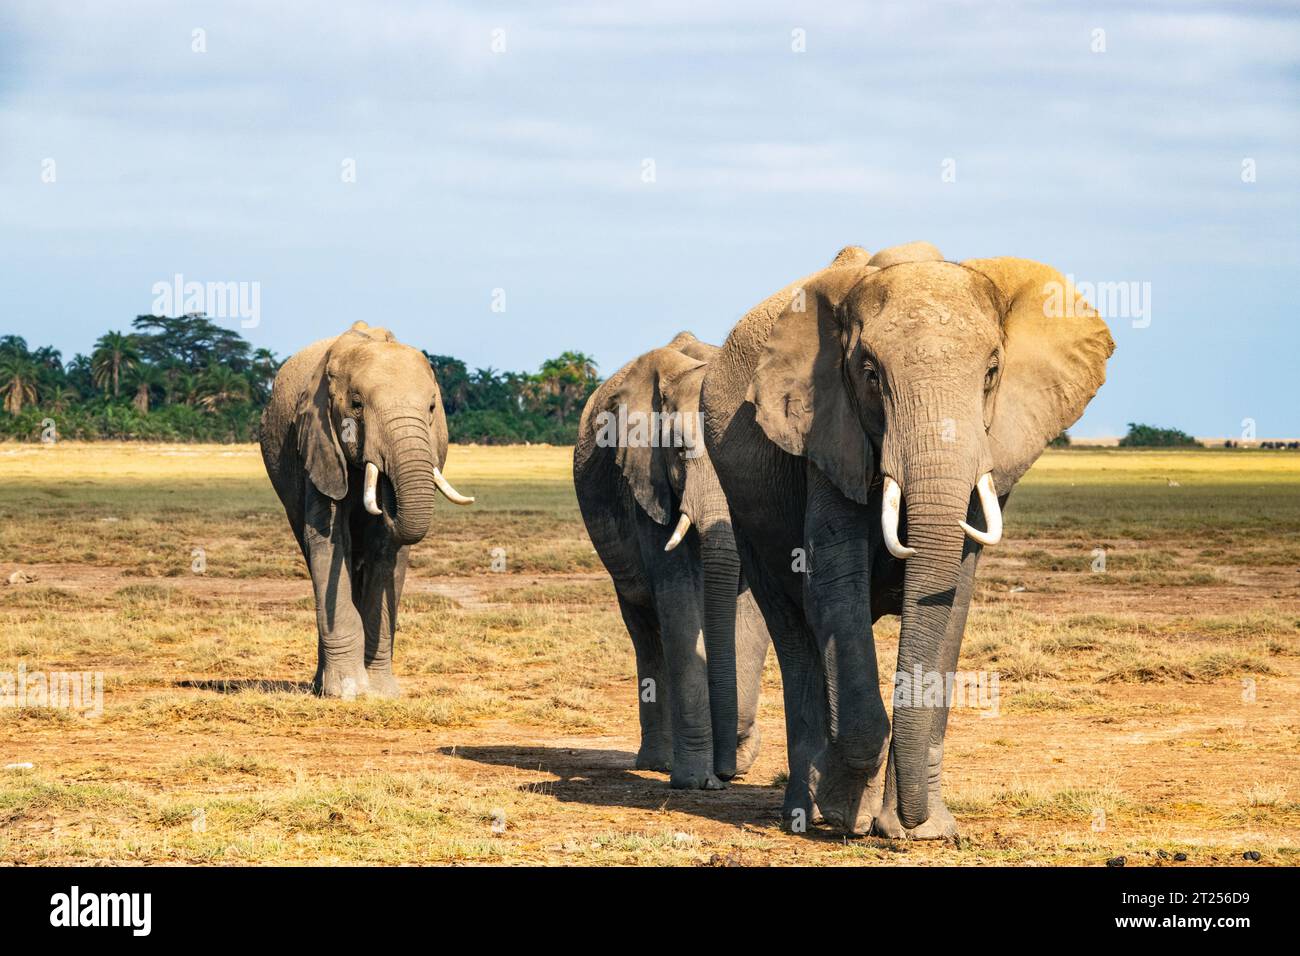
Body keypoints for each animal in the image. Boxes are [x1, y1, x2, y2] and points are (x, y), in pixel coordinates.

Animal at [260, 320, 474, 699]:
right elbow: (330, 542)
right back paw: (322, 686)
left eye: (432, 409)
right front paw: (348, 692)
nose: (386, 504)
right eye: (357, 405)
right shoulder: (317, 442)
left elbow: (385, 550)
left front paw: (383, 693)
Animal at [573, 332, 770, 789]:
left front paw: (736, 759)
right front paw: (697, 780)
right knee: (645, 628)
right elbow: (678, 599)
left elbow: (750, 607)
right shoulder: (646, 480)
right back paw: (656, 763)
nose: (726, 771)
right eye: (679, 449)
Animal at [701, 242, 1114, 837]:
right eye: (871, 374)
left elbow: (953, 602)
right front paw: (847, 812)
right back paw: (805, 813)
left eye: (992, 372)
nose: (908, 822)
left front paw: (920, 831)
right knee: (793, 630)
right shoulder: (827, 432)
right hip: (746, 513)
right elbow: (835, 587)